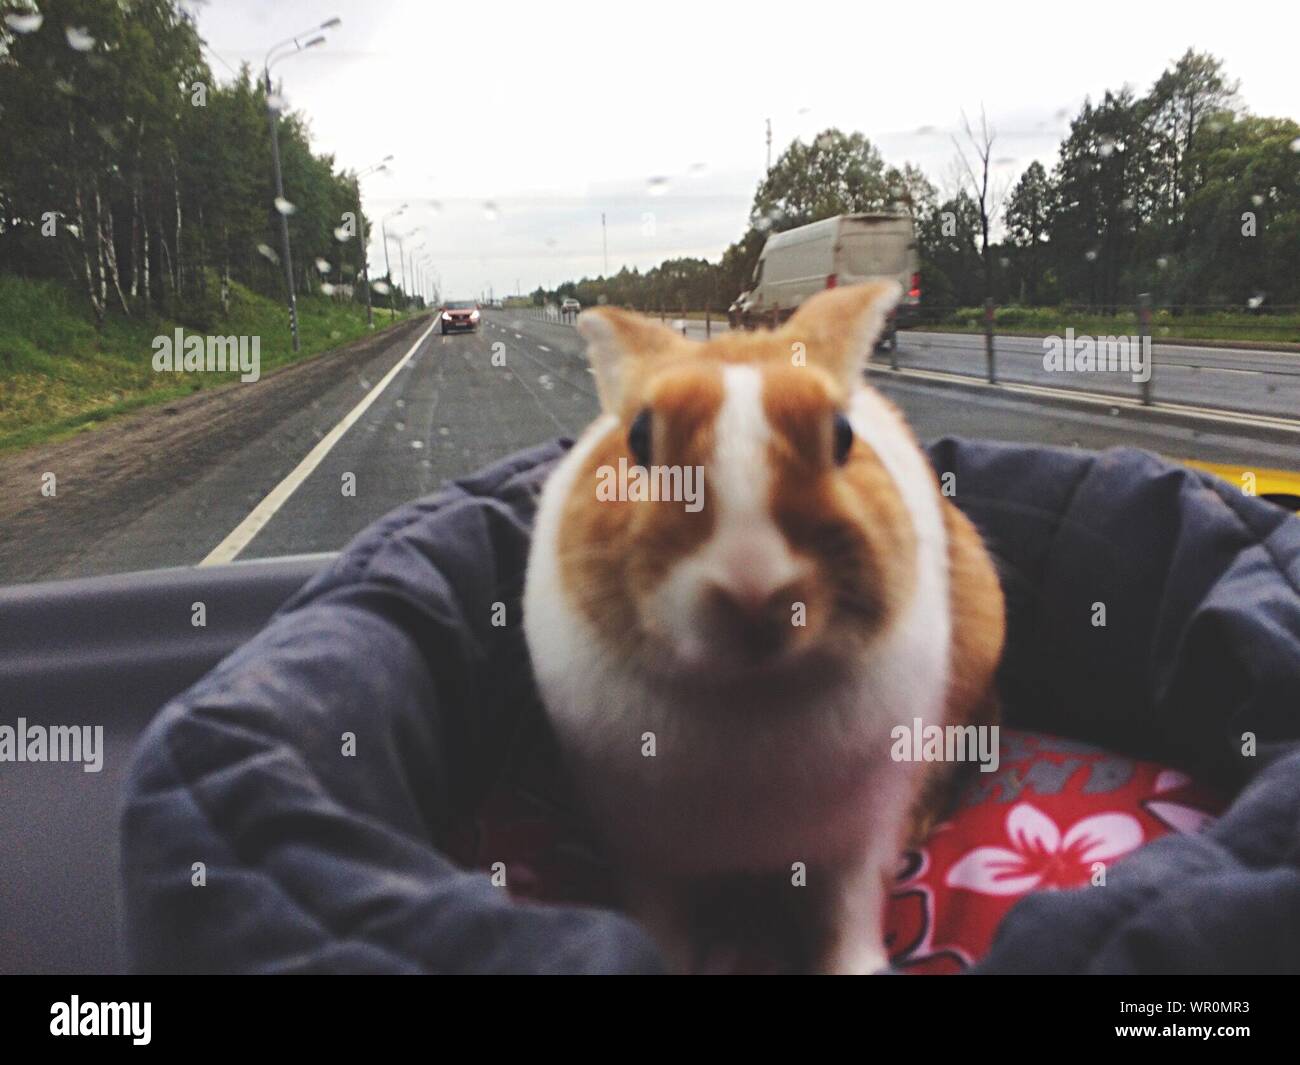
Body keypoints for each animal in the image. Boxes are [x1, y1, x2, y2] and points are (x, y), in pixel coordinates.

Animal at [522, 281, 1005, 974]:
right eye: (639, 438)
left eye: (842, 435)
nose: (756, 591)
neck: (747, 691)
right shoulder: (644, 852)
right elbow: (662, 922)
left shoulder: (857, 841)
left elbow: (848, 917)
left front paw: (860, 967)